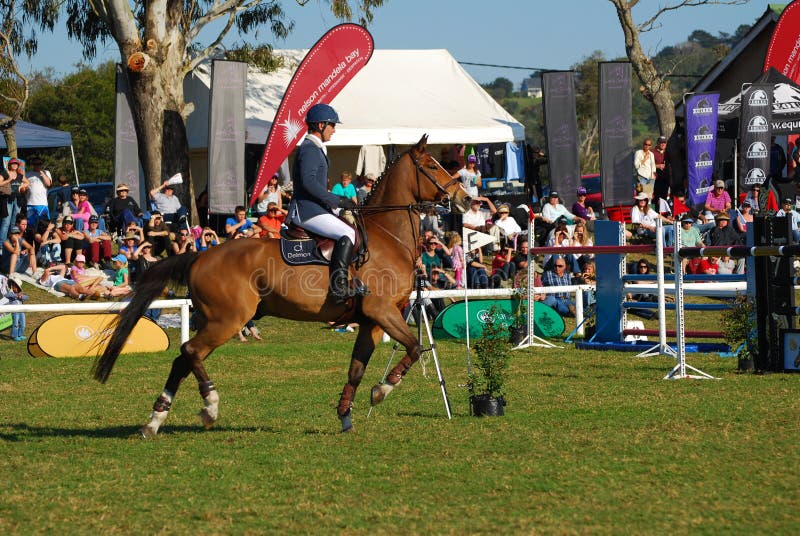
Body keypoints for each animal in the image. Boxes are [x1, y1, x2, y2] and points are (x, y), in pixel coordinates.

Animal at [94, 135, 471, 436]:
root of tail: (200, 256)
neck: (387, 237)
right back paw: (210, 406)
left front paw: (346, 416)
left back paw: (154, 422)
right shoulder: (381, 312)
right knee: (190, 351)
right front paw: (382, 390)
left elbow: (357, 370)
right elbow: (413, 347)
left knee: (182, 360)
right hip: (227, 320)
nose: (466, 199)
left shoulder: (372, 322)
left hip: (216, 320)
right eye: (432, 166)